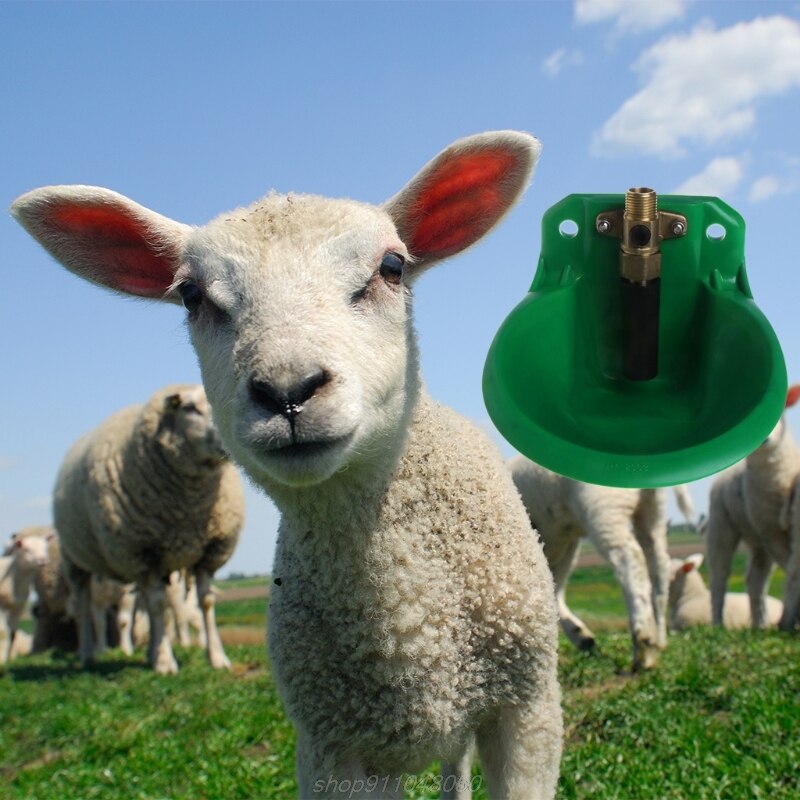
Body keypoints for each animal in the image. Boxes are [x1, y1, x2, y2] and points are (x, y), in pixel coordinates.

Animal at [0, 532, 50, 663]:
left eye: (46, 548)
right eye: (27, 550)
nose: (43, 561)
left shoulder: (20, 606)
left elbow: (13, 634)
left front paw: (10, 658)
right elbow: (3, 632)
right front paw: (2, 659)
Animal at [47, 383, 244, 674]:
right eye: (189, 408)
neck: (189, 505)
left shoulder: (208, 552)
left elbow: (205, 602)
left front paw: (217, 657)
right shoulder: (144, 551)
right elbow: (159, 605)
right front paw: (165, 662)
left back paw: (150, 651)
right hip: (76, 560)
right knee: (84, 605)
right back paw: (87, 654)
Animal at [510, 455, 695, 671]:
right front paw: (582, 638)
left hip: (604, 506)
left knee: (629, 557)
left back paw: (643, 647)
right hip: (651, 510)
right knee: (658, 564)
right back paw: (659, 639)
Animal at [705, 385, 800, 631]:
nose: (764, 438)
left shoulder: (776, 530)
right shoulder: (771, 530)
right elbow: (790, 567)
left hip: (757, 541)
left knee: (755, 580)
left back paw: (761, 624)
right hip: (722, 525)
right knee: (720, 576)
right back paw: (718, 623)